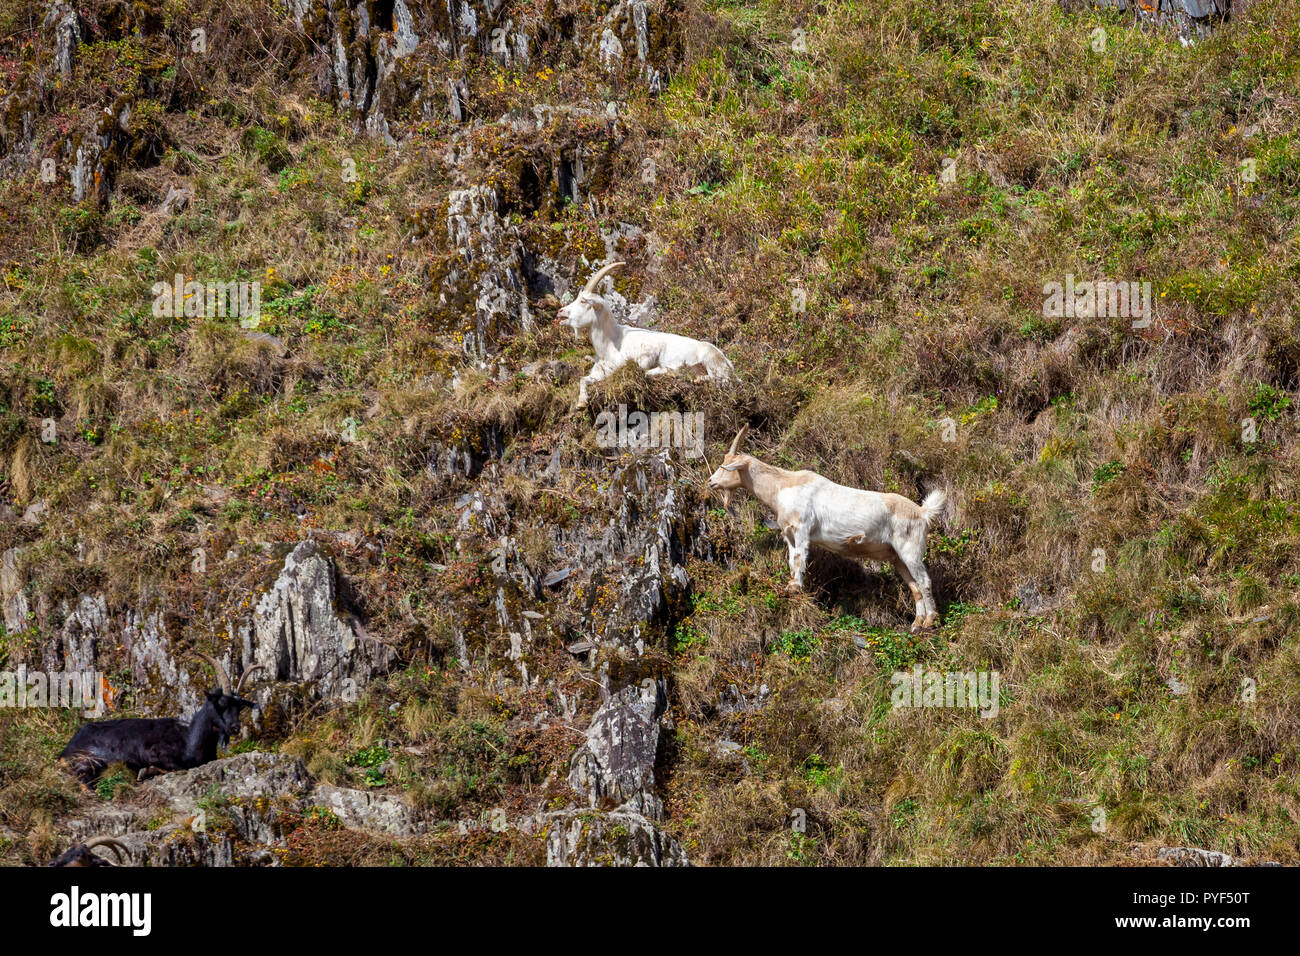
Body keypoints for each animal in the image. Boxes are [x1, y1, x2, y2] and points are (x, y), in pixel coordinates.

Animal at [57, 655, 264, 787]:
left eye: (239, 708)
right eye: (221, 703)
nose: (235, 727)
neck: (190, 738)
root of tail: (65, 751)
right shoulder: (155, 753)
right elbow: (175, 767)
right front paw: (146, 771)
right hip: (92, 761)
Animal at [557, 262, 735, 408]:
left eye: (583, 301)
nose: (560, 312)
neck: (612, 343)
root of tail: (728, 363)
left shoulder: (645, 355)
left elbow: (641, 369)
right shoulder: (600, 371)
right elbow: (584, 379)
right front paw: (581, 403)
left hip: (710, 360)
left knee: (722, 379)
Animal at [707, 426, 946, 632]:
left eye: (725, 466)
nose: (710, 482)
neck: (784, 486)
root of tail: (922, 512)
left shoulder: (802, 530)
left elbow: (799, 559)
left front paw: (795, 588)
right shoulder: (789, 534)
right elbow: (791, 559)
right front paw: (791, 585)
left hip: (910, 549)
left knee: (924, 581)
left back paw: (930, 621)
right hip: (896, 556)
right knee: (914, 586)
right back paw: (916, 624)